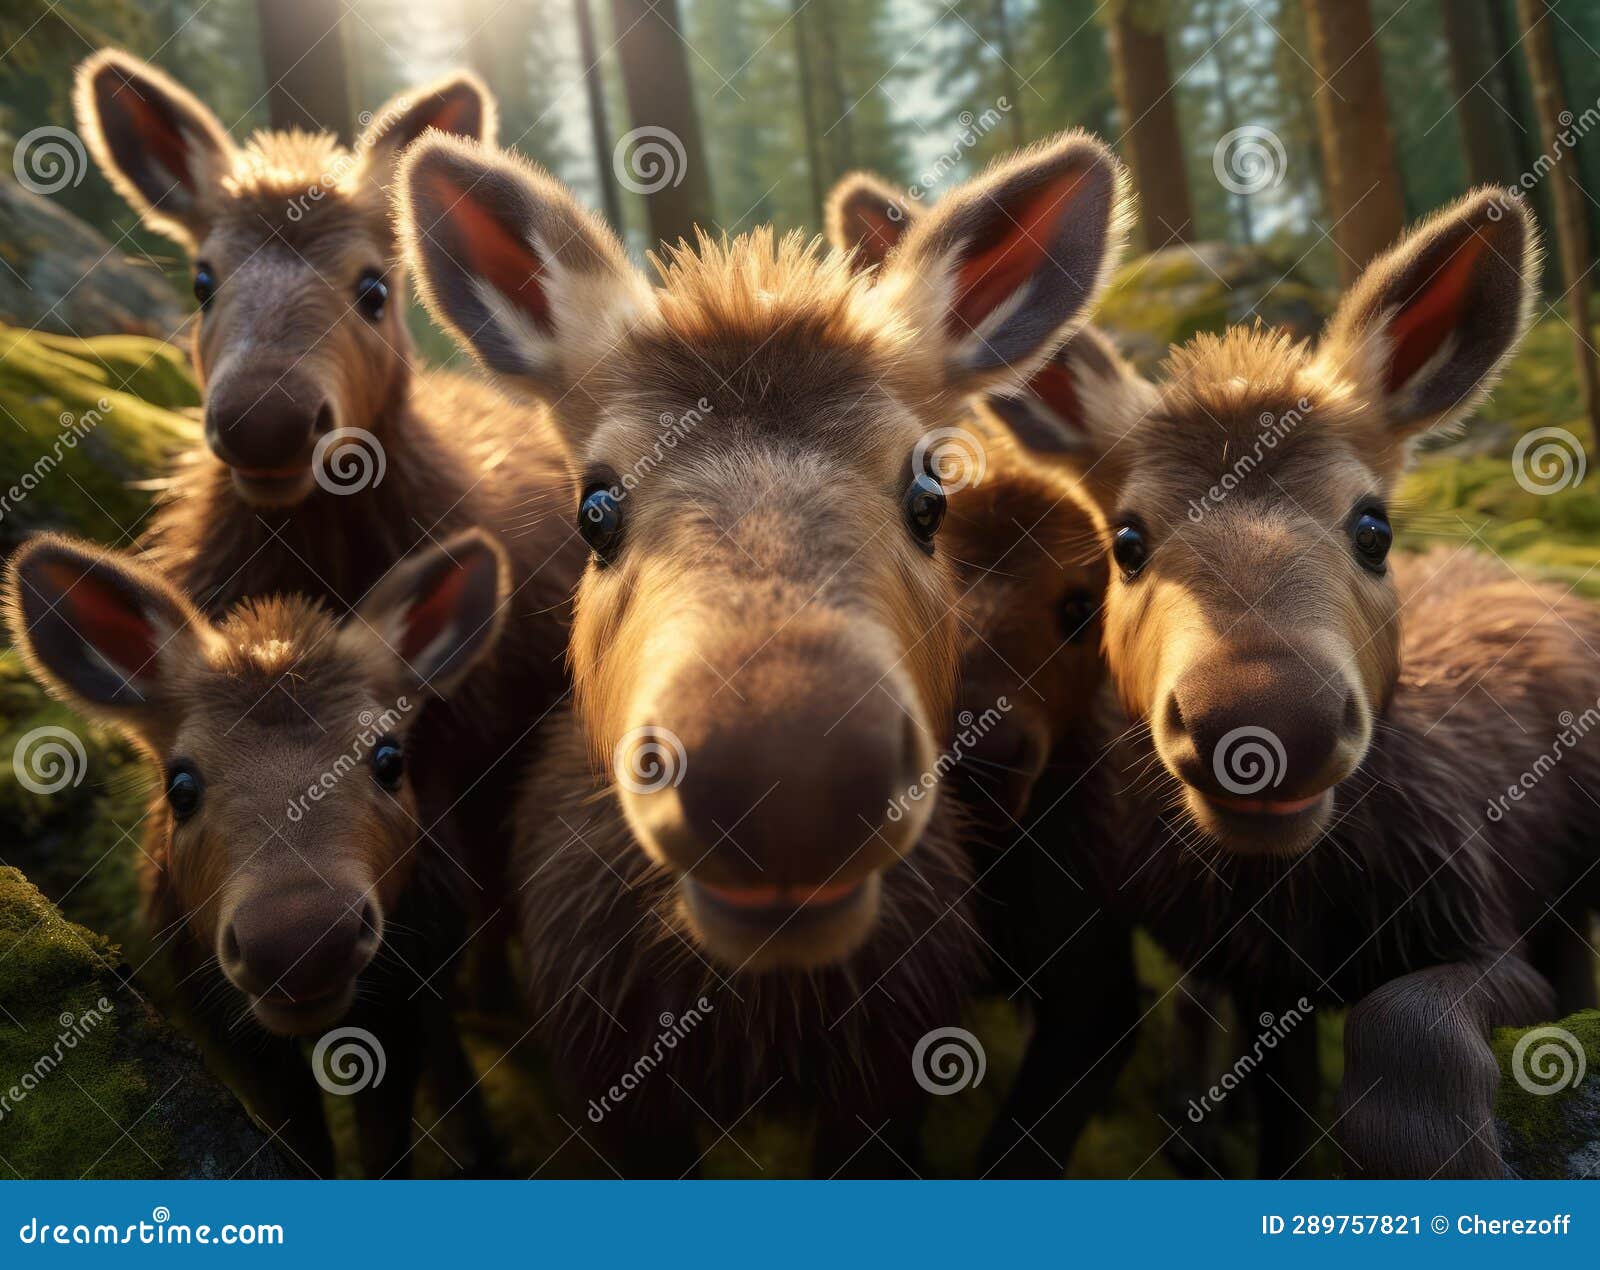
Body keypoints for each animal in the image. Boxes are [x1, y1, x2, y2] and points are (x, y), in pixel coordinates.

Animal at [984, 186, 1600, 1178]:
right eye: (1126, 541)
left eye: (1373, 528)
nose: (1264, 725)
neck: (1293, 900)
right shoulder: (1262, 985)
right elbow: (1279, 1120)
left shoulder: (1483, 925)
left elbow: (1407, 1025)